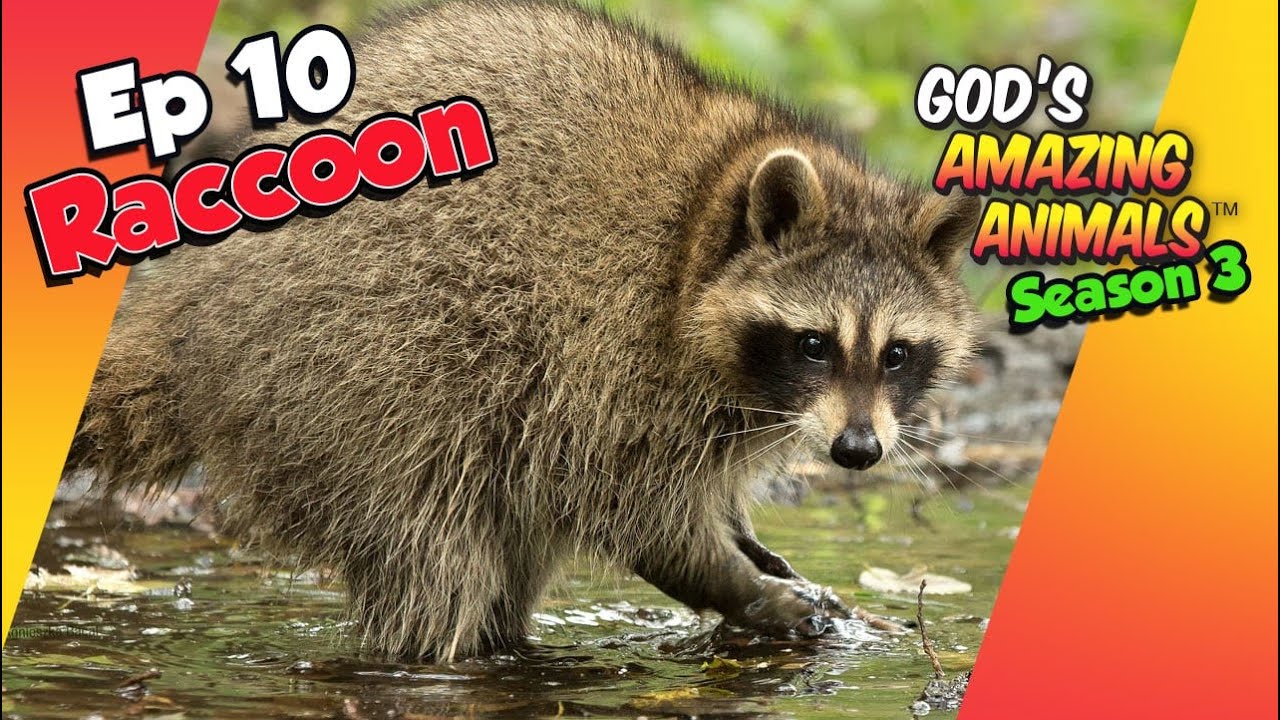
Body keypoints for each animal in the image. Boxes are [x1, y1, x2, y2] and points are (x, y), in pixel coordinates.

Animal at [67, 0, 980, 659]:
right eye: (815, 343)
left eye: (897, 354)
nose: (858, 451)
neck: (700, 224)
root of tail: (194, 310)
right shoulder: (615, 352)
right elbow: (627, 505)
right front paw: (732, 581)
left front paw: (756, 550)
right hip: (355, 376)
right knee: (434, 551)